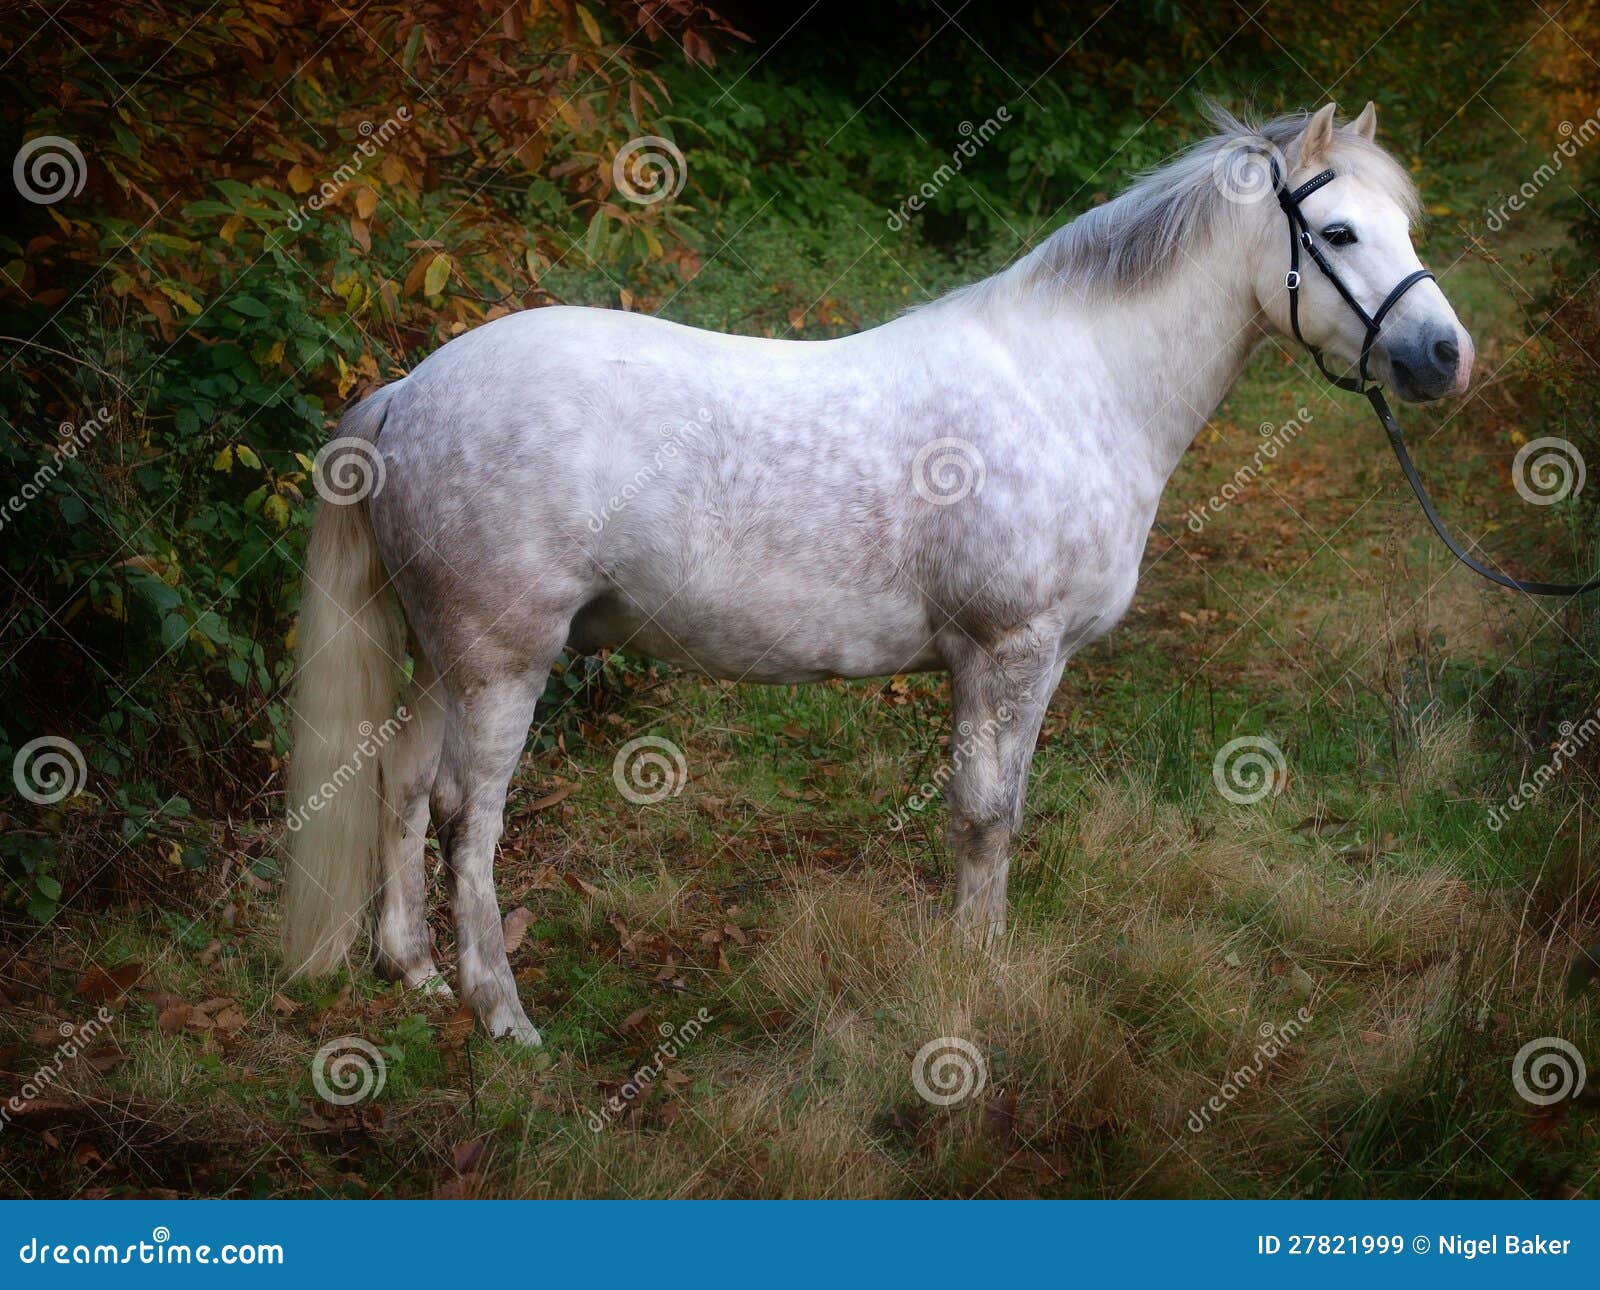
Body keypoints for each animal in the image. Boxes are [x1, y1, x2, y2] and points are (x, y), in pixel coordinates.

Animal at [282, 102, 1473, 1043]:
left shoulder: (1022, 664)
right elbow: (984, 815)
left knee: (399, 786)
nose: (1444, 358)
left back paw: (413, 970)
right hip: (503, 664)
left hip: (445, 657)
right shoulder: (1007, 651)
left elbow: (1001, 809)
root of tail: (407, 393)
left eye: (1405, 226)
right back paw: (502, 1012)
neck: (1070, 385)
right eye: (1336, 231)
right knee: (465, 818)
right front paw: (973, 975)